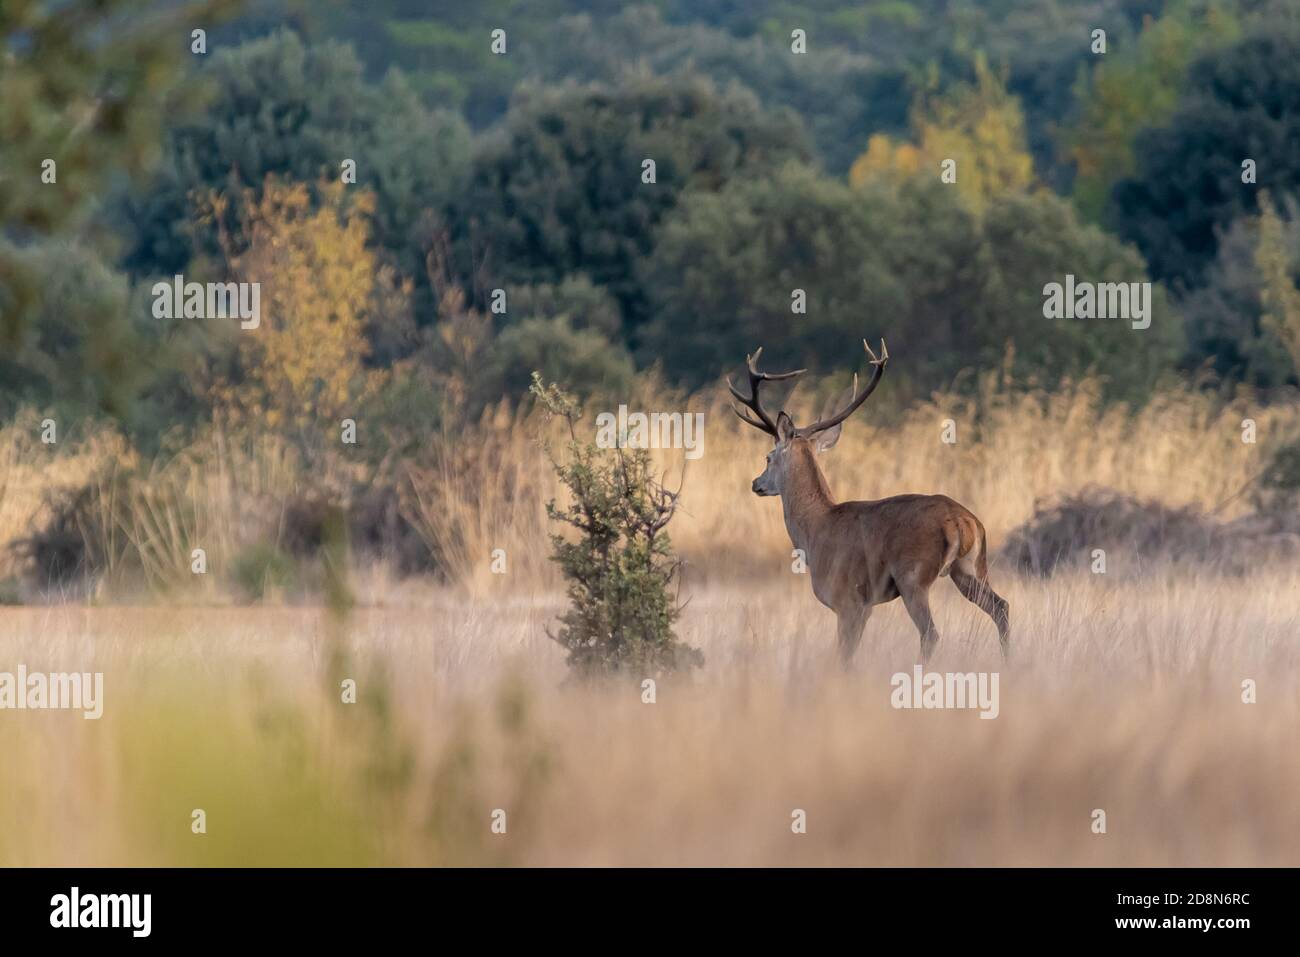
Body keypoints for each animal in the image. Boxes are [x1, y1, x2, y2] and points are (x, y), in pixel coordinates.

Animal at [729, 340, 1010, 666]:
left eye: (768, 457)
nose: (756, 483)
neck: (814, 530)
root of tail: (963, 521)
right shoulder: (865, 606)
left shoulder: (846, 598)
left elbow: (844, 653)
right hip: (970, 568)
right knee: (1001, 607)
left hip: (913, 575)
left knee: (930, 632)